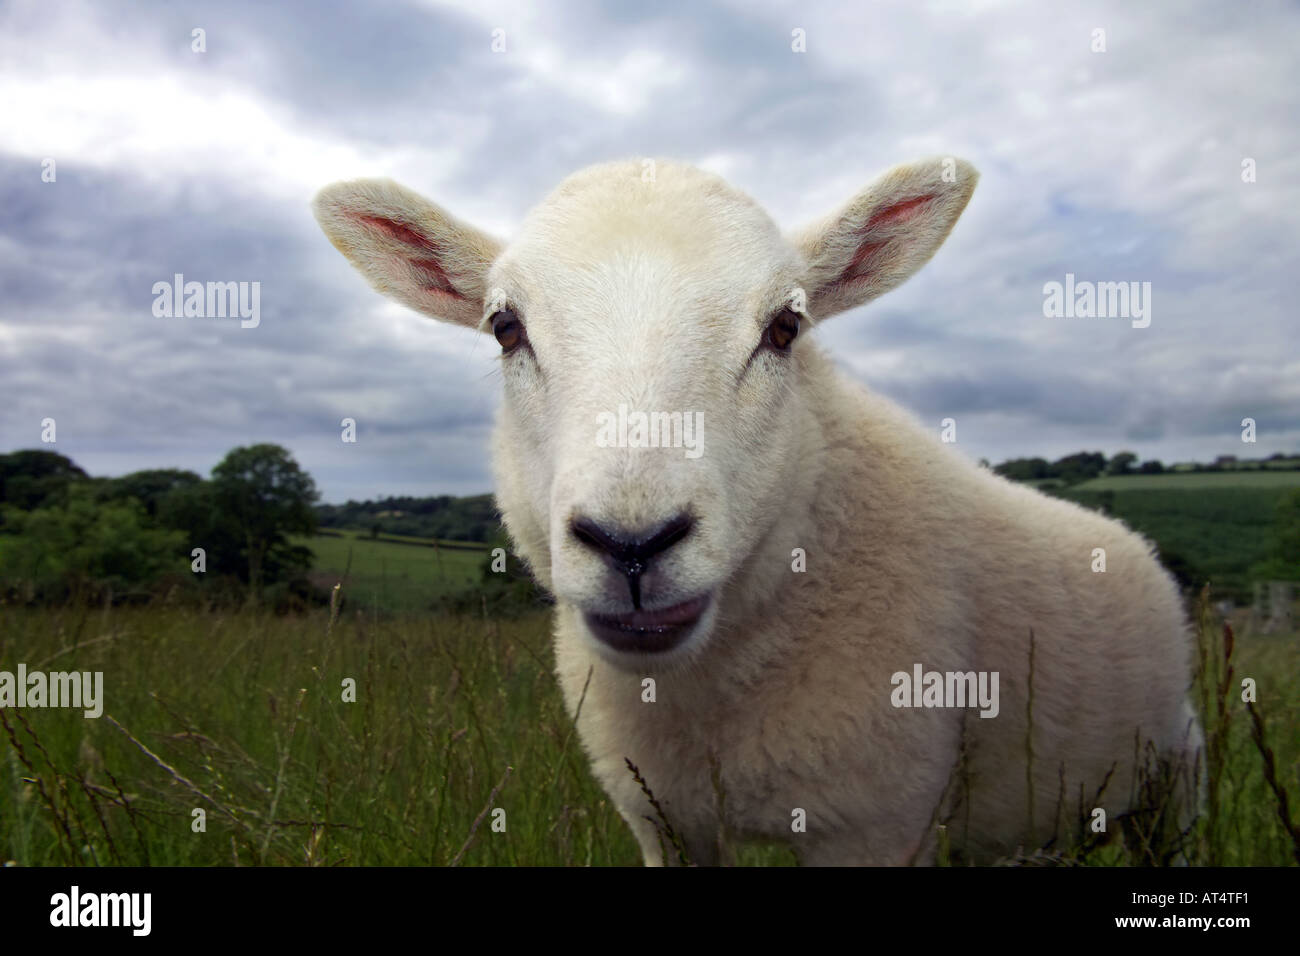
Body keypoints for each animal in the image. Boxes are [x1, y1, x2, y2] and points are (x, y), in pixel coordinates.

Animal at [313, 158, 1204, 866]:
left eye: (785, 328)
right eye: (505, 328)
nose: (632, 543)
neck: (707, 699)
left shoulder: (876, 823)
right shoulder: (663, 820)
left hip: (1173, 783)